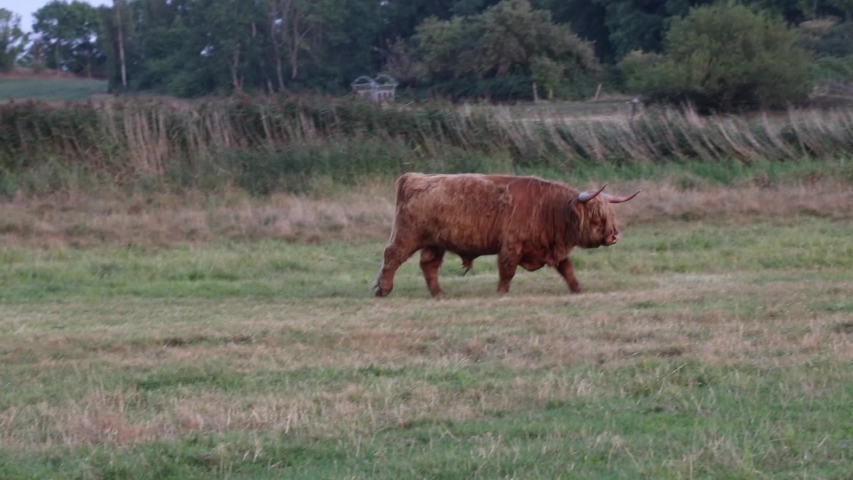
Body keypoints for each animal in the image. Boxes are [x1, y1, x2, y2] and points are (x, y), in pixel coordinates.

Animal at [372, 173, 640, 298]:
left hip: (434, 244)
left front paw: (578, 289)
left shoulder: (556, 249)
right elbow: (507, 270)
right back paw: (383, 289)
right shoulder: (511, 245)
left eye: (610, 213)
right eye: (596, 215)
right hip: (407, 236)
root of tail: (414, 177)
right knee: (391, 258)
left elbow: (568, 270)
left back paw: (439, 294)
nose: (614, 236)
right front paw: (501, 293)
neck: (550, 209)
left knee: (429, 266)